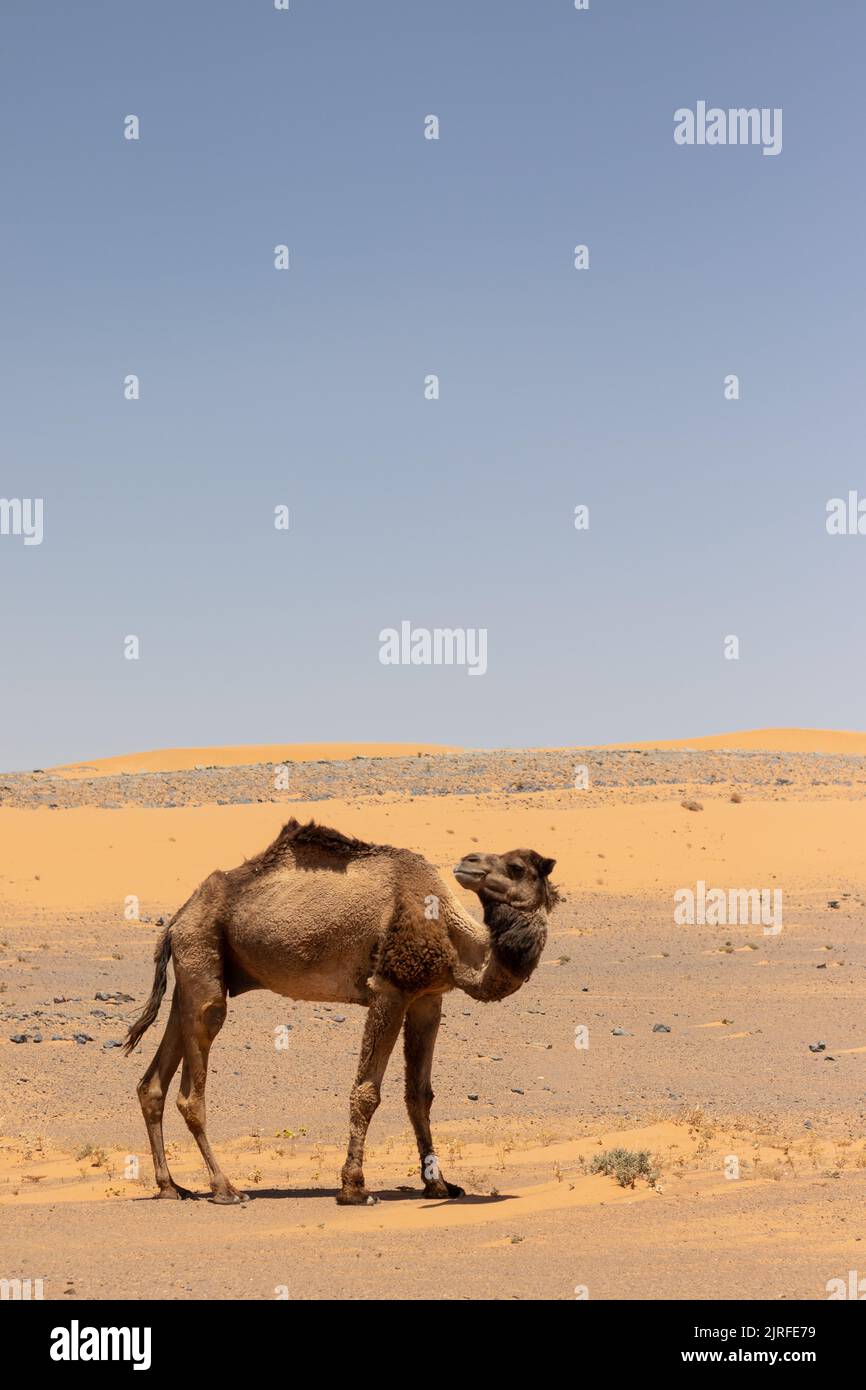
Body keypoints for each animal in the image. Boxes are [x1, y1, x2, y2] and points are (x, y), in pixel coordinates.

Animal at [124, 818, 560, 1205]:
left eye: (517, 867)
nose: (468, 861)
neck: (454, 941)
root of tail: (176, 919)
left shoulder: (427, 998)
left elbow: (419, 1093)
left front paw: (438, 1184)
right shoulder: (389, 989)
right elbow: (366, 1092)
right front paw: (354, 1188)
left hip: (192, 976)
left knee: (152, 1084)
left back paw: (170, 1187)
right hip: (203, 960)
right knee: (191, 1089)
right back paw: (225, 1189)